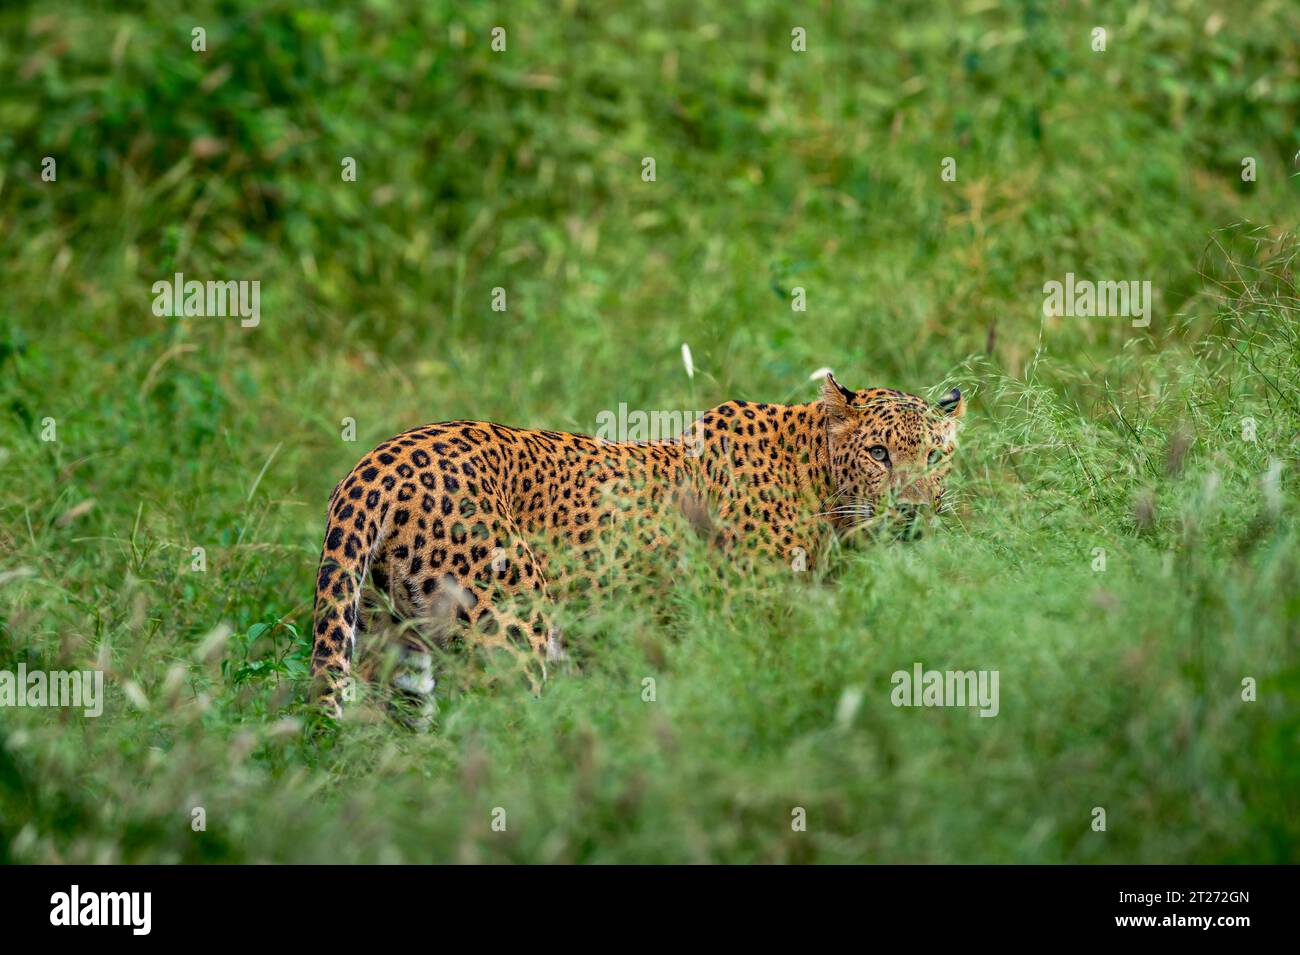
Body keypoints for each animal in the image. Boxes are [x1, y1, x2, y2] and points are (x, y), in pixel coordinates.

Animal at [309, 373, 965, 720]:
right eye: (879, 454)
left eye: (935, 457)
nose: (912, 512)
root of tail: (375, 463)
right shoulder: (741, 626)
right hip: (511, 629)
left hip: (393, 650)